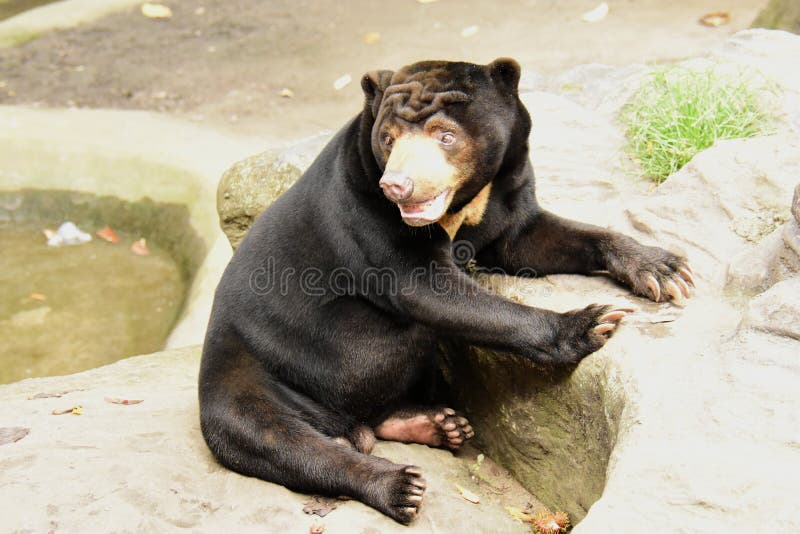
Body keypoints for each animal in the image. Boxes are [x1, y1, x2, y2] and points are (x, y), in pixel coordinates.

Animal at [199, 58, 693, 524]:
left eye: (446, 136)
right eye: (388, 139)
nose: (397, 186)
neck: (463, 204)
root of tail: (342, 423)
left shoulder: (508, 190)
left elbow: (535, 238)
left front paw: (664, 269)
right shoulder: (364, 207)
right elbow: (429, 289)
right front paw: (591, 323)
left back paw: (438, 425)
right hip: (245, 376)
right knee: (274, 438)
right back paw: (399, 486)